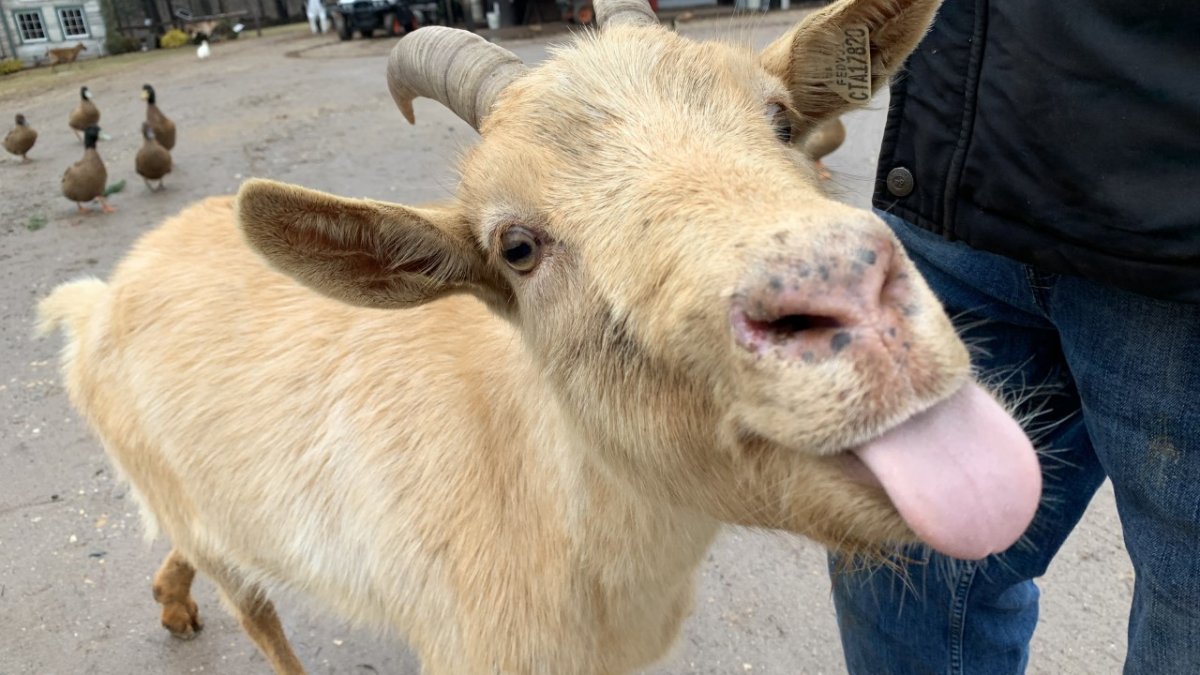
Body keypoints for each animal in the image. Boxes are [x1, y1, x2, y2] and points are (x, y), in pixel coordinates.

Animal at [39, 0, 1041, 672]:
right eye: (515, 247)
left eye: (782, 119)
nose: (847, 297)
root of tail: (96, 297)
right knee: (256, 609)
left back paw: (172, 605)